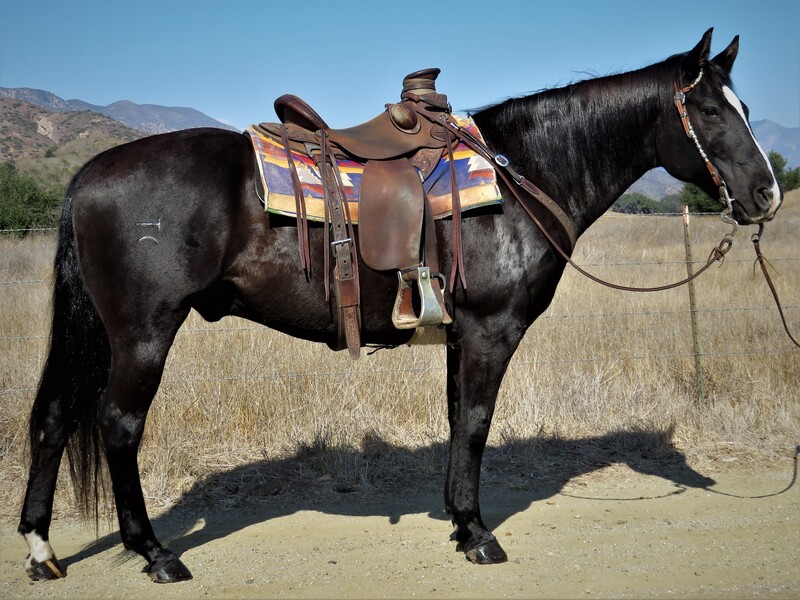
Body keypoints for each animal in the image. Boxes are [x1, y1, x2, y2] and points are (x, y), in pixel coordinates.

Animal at [19, 28, 782, 582]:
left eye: (744, 108)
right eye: (710, 111)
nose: (768, 194)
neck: (523, 174)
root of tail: (91, 172)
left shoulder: (460, 336)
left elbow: (457, 422)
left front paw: (458, 521)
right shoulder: (491, 332)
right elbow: (475, 424)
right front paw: (478, 534)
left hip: (101, 331)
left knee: (55, 417)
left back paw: (41, 549)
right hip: (144, 331)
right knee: (117, 426)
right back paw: (154, 553)